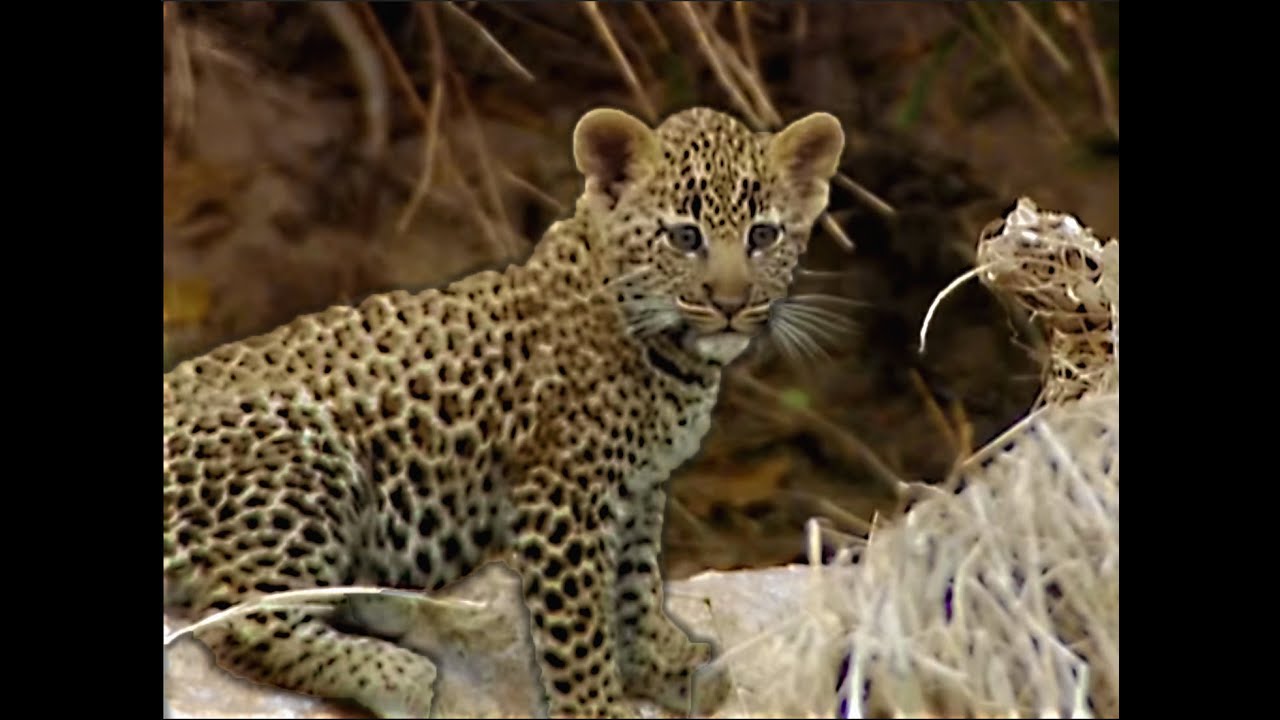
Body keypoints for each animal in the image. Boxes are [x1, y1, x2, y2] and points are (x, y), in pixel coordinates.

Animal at [163, 106, 846, 718]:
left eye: (763, 236)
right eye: (684, 237)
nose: (731, 304)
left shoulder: (641, 487)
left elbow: (634, 586)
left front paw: (662, 662)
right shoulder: (562, 497)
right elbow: (579, 625)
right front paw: (600, 707)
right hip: (301, 468)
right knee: (234, 622)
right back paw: (396, 672)